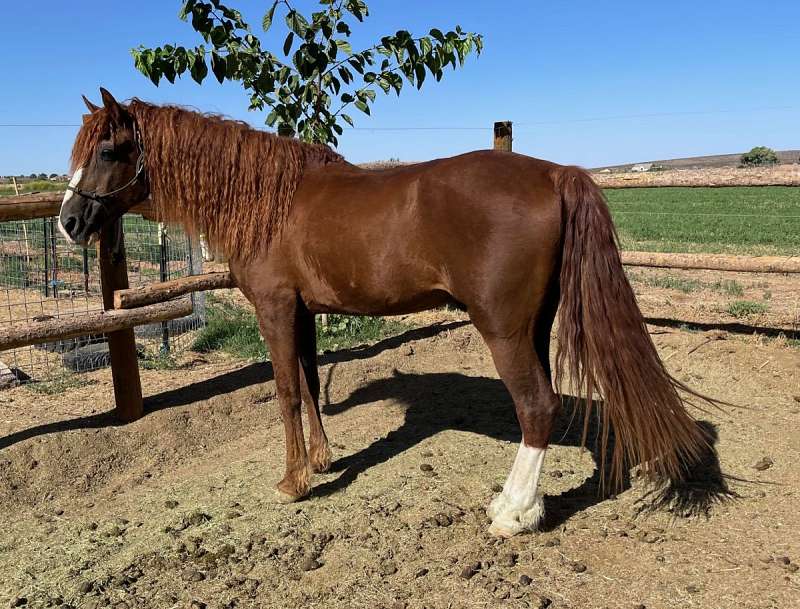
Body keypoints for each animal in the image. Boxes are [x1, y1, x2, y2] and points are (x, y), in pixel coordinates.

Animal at [59, 88, 710, 537]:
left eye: (109, 150)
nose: (69, 222)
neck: (267, 200)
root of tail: (555, 174)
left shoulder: (274, 308)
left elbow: (285, 391)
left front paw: (293, 482)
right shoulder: (303, 311)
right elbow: (309, 378)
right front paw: (321, 460)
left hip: (502, 327)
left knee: (537, 405)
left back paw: (511, 514)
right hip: (535, 324)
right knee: (543, 406)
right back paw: (525, 506)